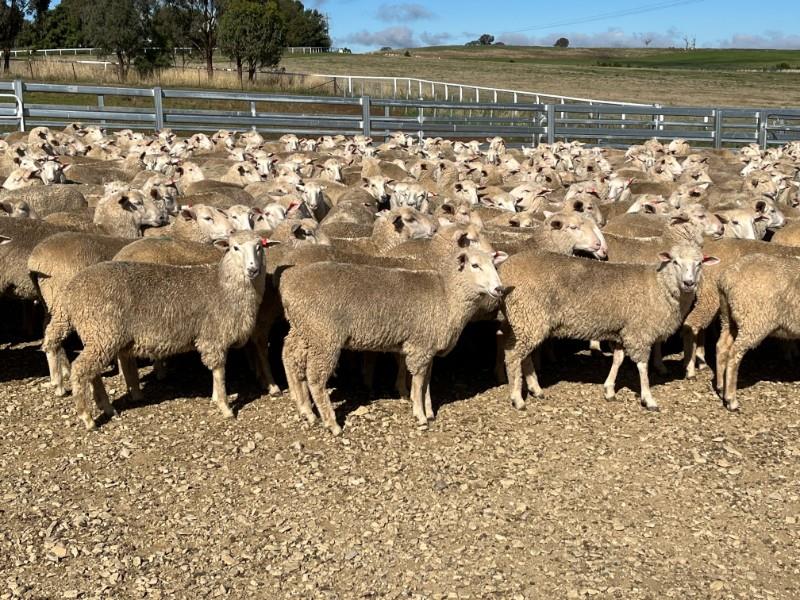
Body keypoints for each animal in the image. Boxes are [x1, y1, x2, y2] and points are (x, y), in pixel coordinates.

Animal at [55, 231, 273, 429]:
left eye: (259, 247)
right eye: (235, 247)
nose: (253, 269)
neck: (223, 286)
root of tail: (70, 290)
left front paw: (215, 398)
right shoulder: (213, 337)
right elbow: (219, 372)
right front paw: (225, 406)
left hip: (96, 337)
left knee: (93, 373)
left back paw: (107, 408)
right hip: (102, 333)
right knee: (80, 369)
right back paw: (87, 418)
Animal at [280, 246, 508, 434]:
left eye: (494, 264)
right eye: (475, 265)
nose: (499, 289)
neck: (447, 295)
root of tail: (287, 286)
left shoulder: (428, 346)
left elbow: (426, 380)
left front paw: (428, 410)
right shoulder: (421, 345)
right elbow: (418, 380)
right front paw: (420, 415)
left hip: (304, 330)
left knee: (290, 357)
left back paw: (306, 410)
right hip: (324, 336)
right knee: (316, 378)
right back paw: (331, 424)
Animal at [500, 244, 719, 411]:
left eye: (699, 263)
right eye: (675, 262)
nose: (689, 283)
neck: (660, 286)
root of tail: (504, 271)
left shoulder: (623, 330)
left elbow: (618, 359)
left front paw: (609, 390)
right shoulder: (638, 332)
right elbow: (642, 366)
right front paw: (648, 399)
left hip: (528, 322)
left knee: (524, 356)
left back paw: (535, 389)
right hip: (527, 315)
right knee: (512, 357)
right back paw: (517, 398)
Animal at [715, 254, 800, 410]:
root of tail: (727, 279)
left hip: (728, 317)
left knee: (722, 346)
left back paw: (720, 387)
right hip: (753, 320)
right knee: (734, 354)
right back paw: (731, 400)